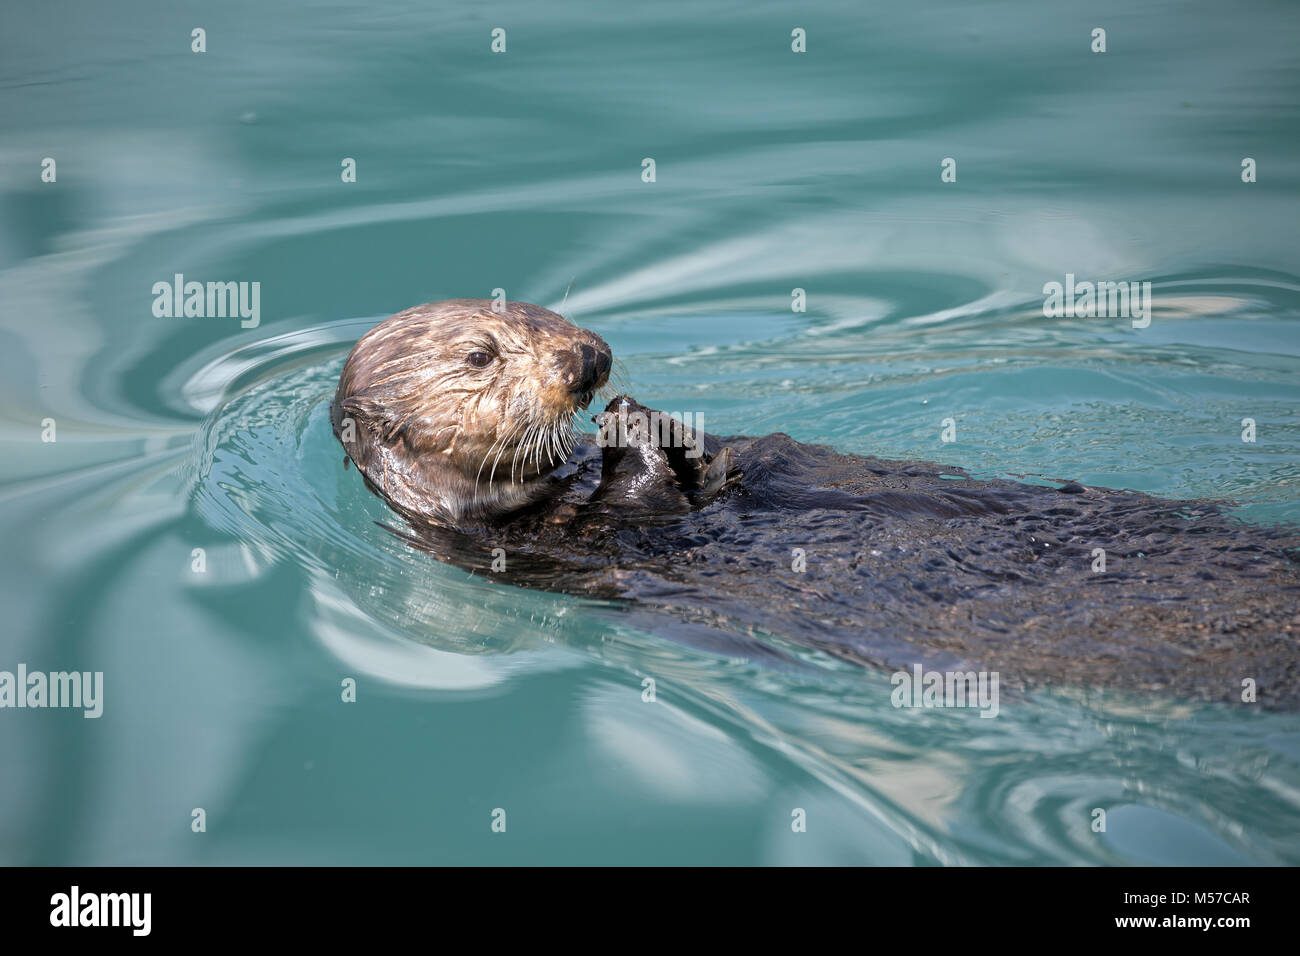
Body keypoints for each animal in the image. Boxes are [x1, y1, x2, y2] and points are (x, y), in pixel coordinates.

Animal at [333, 300, 1300, 708]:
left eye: (543, 311)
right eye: (479, 356)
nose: (591, 361)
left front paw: (666, 424)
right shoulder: (547, 546)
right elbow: (639, 509)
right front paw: (638, 435)